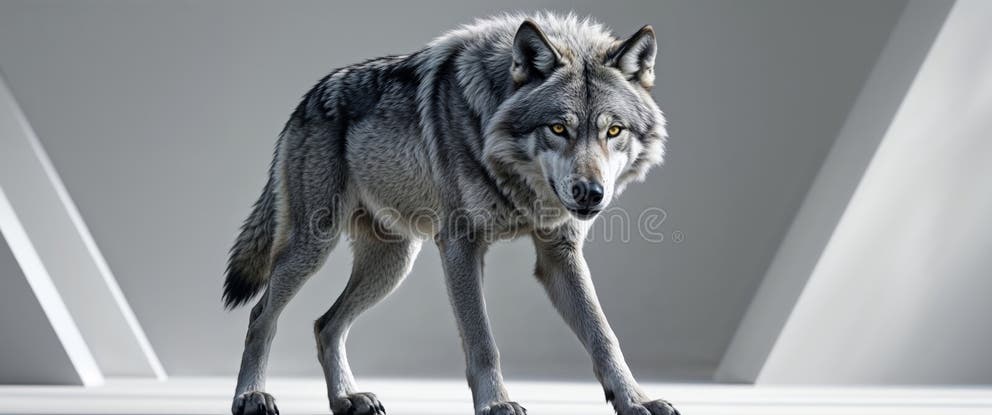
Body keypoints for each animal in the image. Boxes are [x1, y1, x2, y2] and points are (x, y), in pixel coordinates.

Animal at [223, 12, 673, 415]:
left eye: (613, 131)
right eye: (558, 128)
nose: (591, 193)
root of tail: (308, 98)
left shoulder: (559, 254)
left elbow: (604, 336)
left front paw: (636, 400)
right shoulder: (460, 247)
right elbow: (482, 341)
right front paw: (497, 404)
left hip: (393, 264)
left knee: (326, 325)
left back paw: (348, 400)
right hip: (314, 247)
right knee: (261, 316)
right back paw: (251, 397)